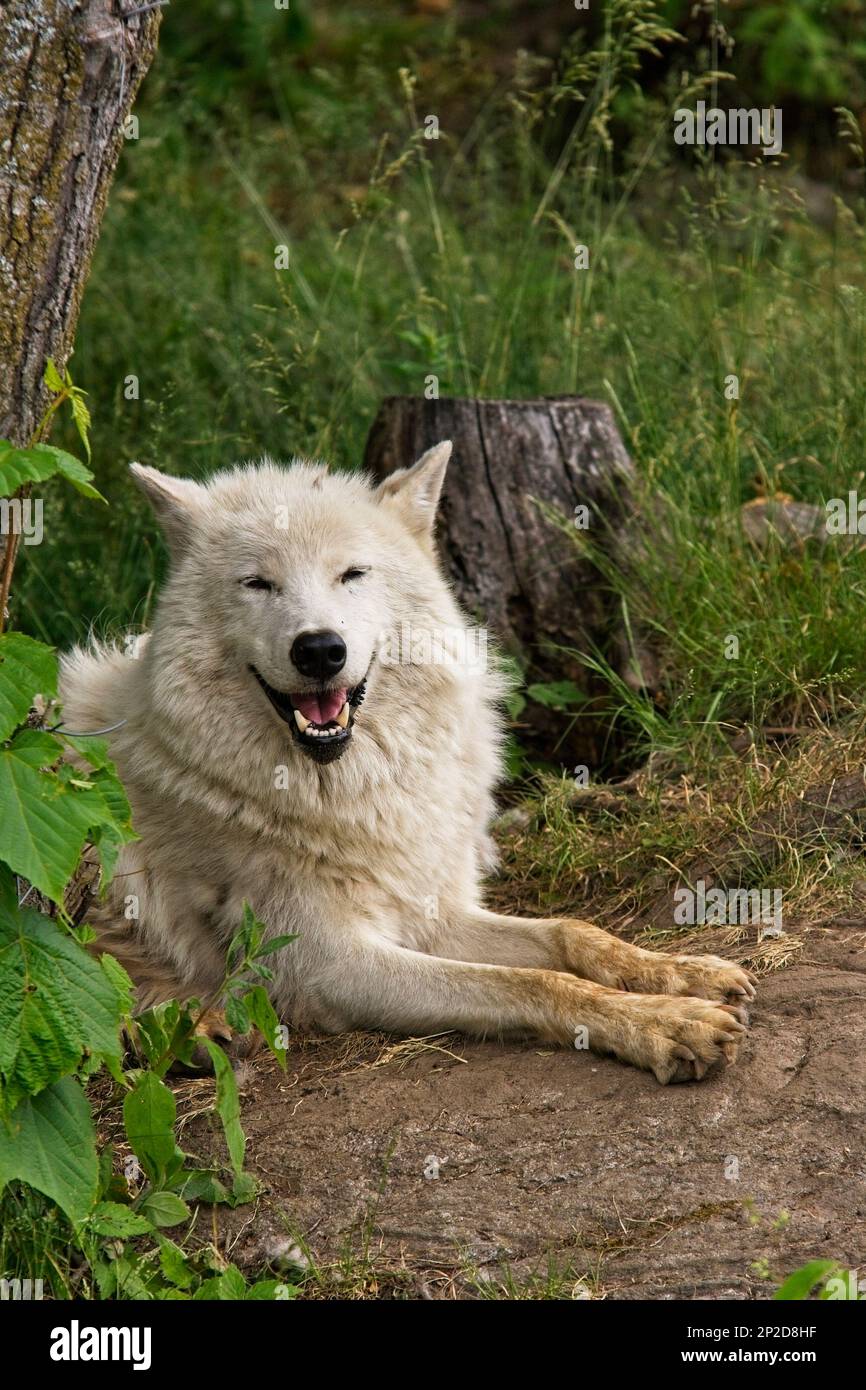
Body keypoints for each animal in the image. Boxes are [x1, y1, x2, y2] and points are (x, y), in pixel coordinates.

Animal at [59, 444, 754, 1084]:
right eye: (257, 583)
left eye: (352, 574)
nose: (319, 649)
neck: (353, 792)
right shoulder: (326, 963)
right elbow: (529, 982)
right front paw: (666, 1024)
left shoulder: (431, 912)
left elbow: (571, 932)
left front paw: (682, 974)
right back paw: (199, 1030)